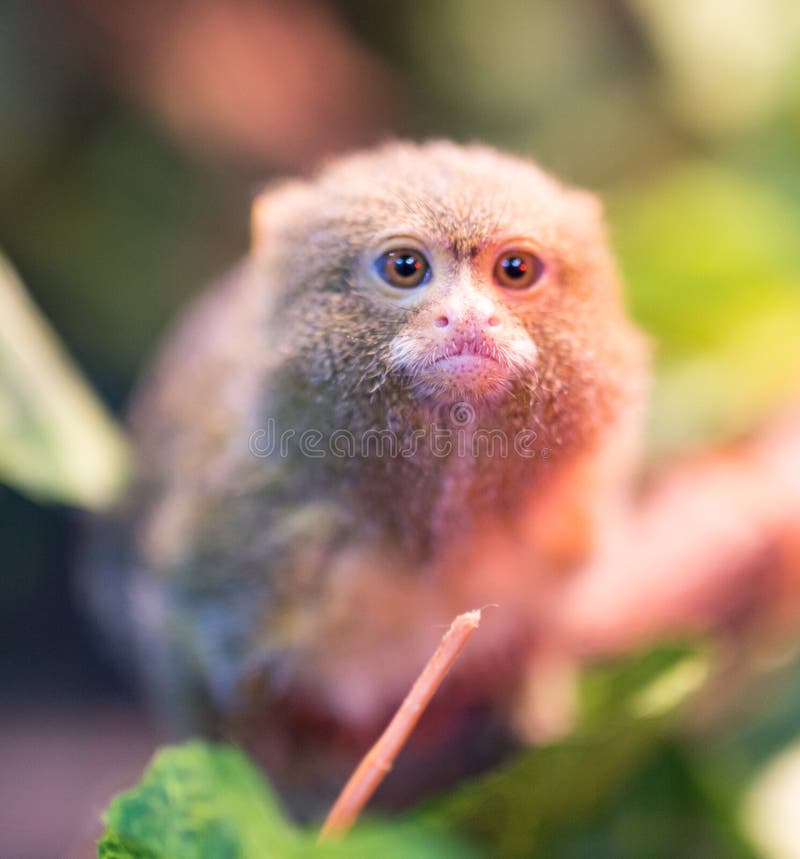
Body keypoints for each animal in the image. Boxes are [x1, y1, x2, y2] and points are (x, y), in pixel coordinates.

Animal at [95, 141, 650, 815]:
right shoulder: (232, 555)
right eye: (406, 267)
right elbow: (201, 688)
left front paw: (528, 700)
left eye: (515, 270)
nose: (469, 319)